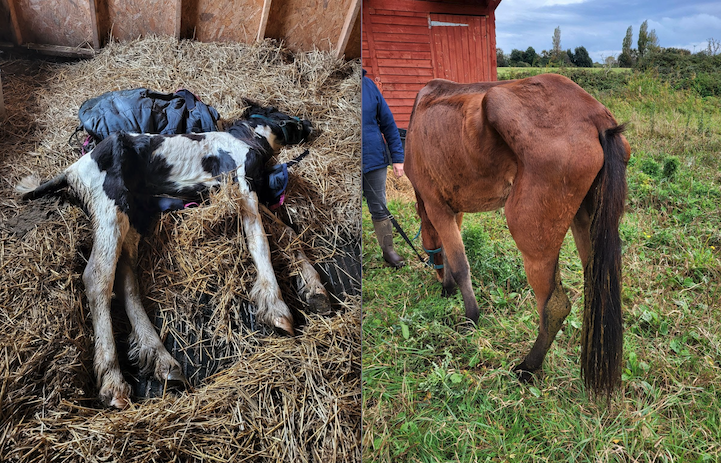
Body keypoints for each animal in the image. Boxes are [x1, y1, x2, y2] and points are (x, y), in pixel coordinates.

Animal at [404, 74, 630, 396]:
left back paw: (528, 366)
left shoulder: (438, 208)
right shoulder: (453, 210)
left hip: (531, 238)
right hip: (585, 225)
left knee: (555, 305)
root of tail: (596, 115)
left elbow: (460, 265)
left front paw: (470, 317)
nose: (440, 284)